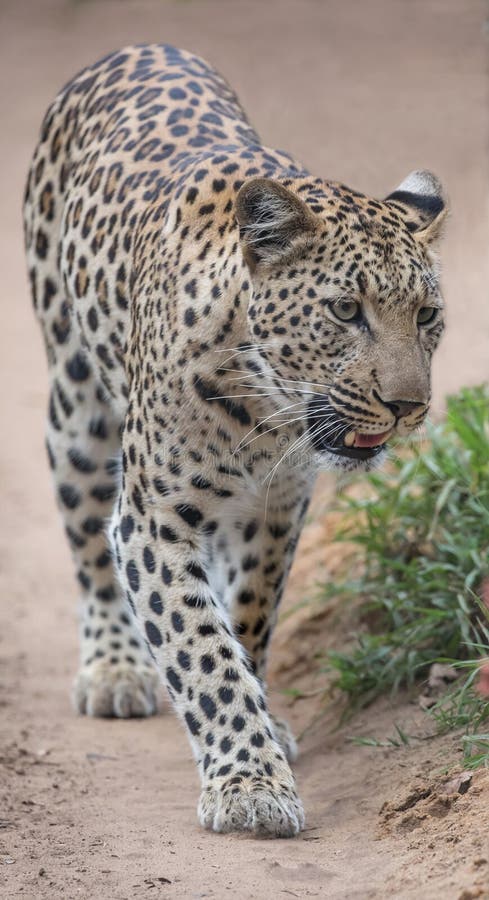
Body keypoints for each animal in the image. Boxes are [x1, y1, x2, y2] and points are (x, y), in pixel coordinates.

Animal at [23, 43, 447, 838]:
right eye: (346, 311)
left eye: (427, 315)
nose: (407, 406)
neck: (262, 409)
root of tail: (137, 45)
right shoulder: (153, 520)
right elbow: (202, 650)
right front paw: (250, 783)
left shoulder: (276, 508)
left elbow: (247, 614)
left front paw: (261, 731)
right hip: (77, 410)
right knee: (88, 541)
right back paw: (114, 668)